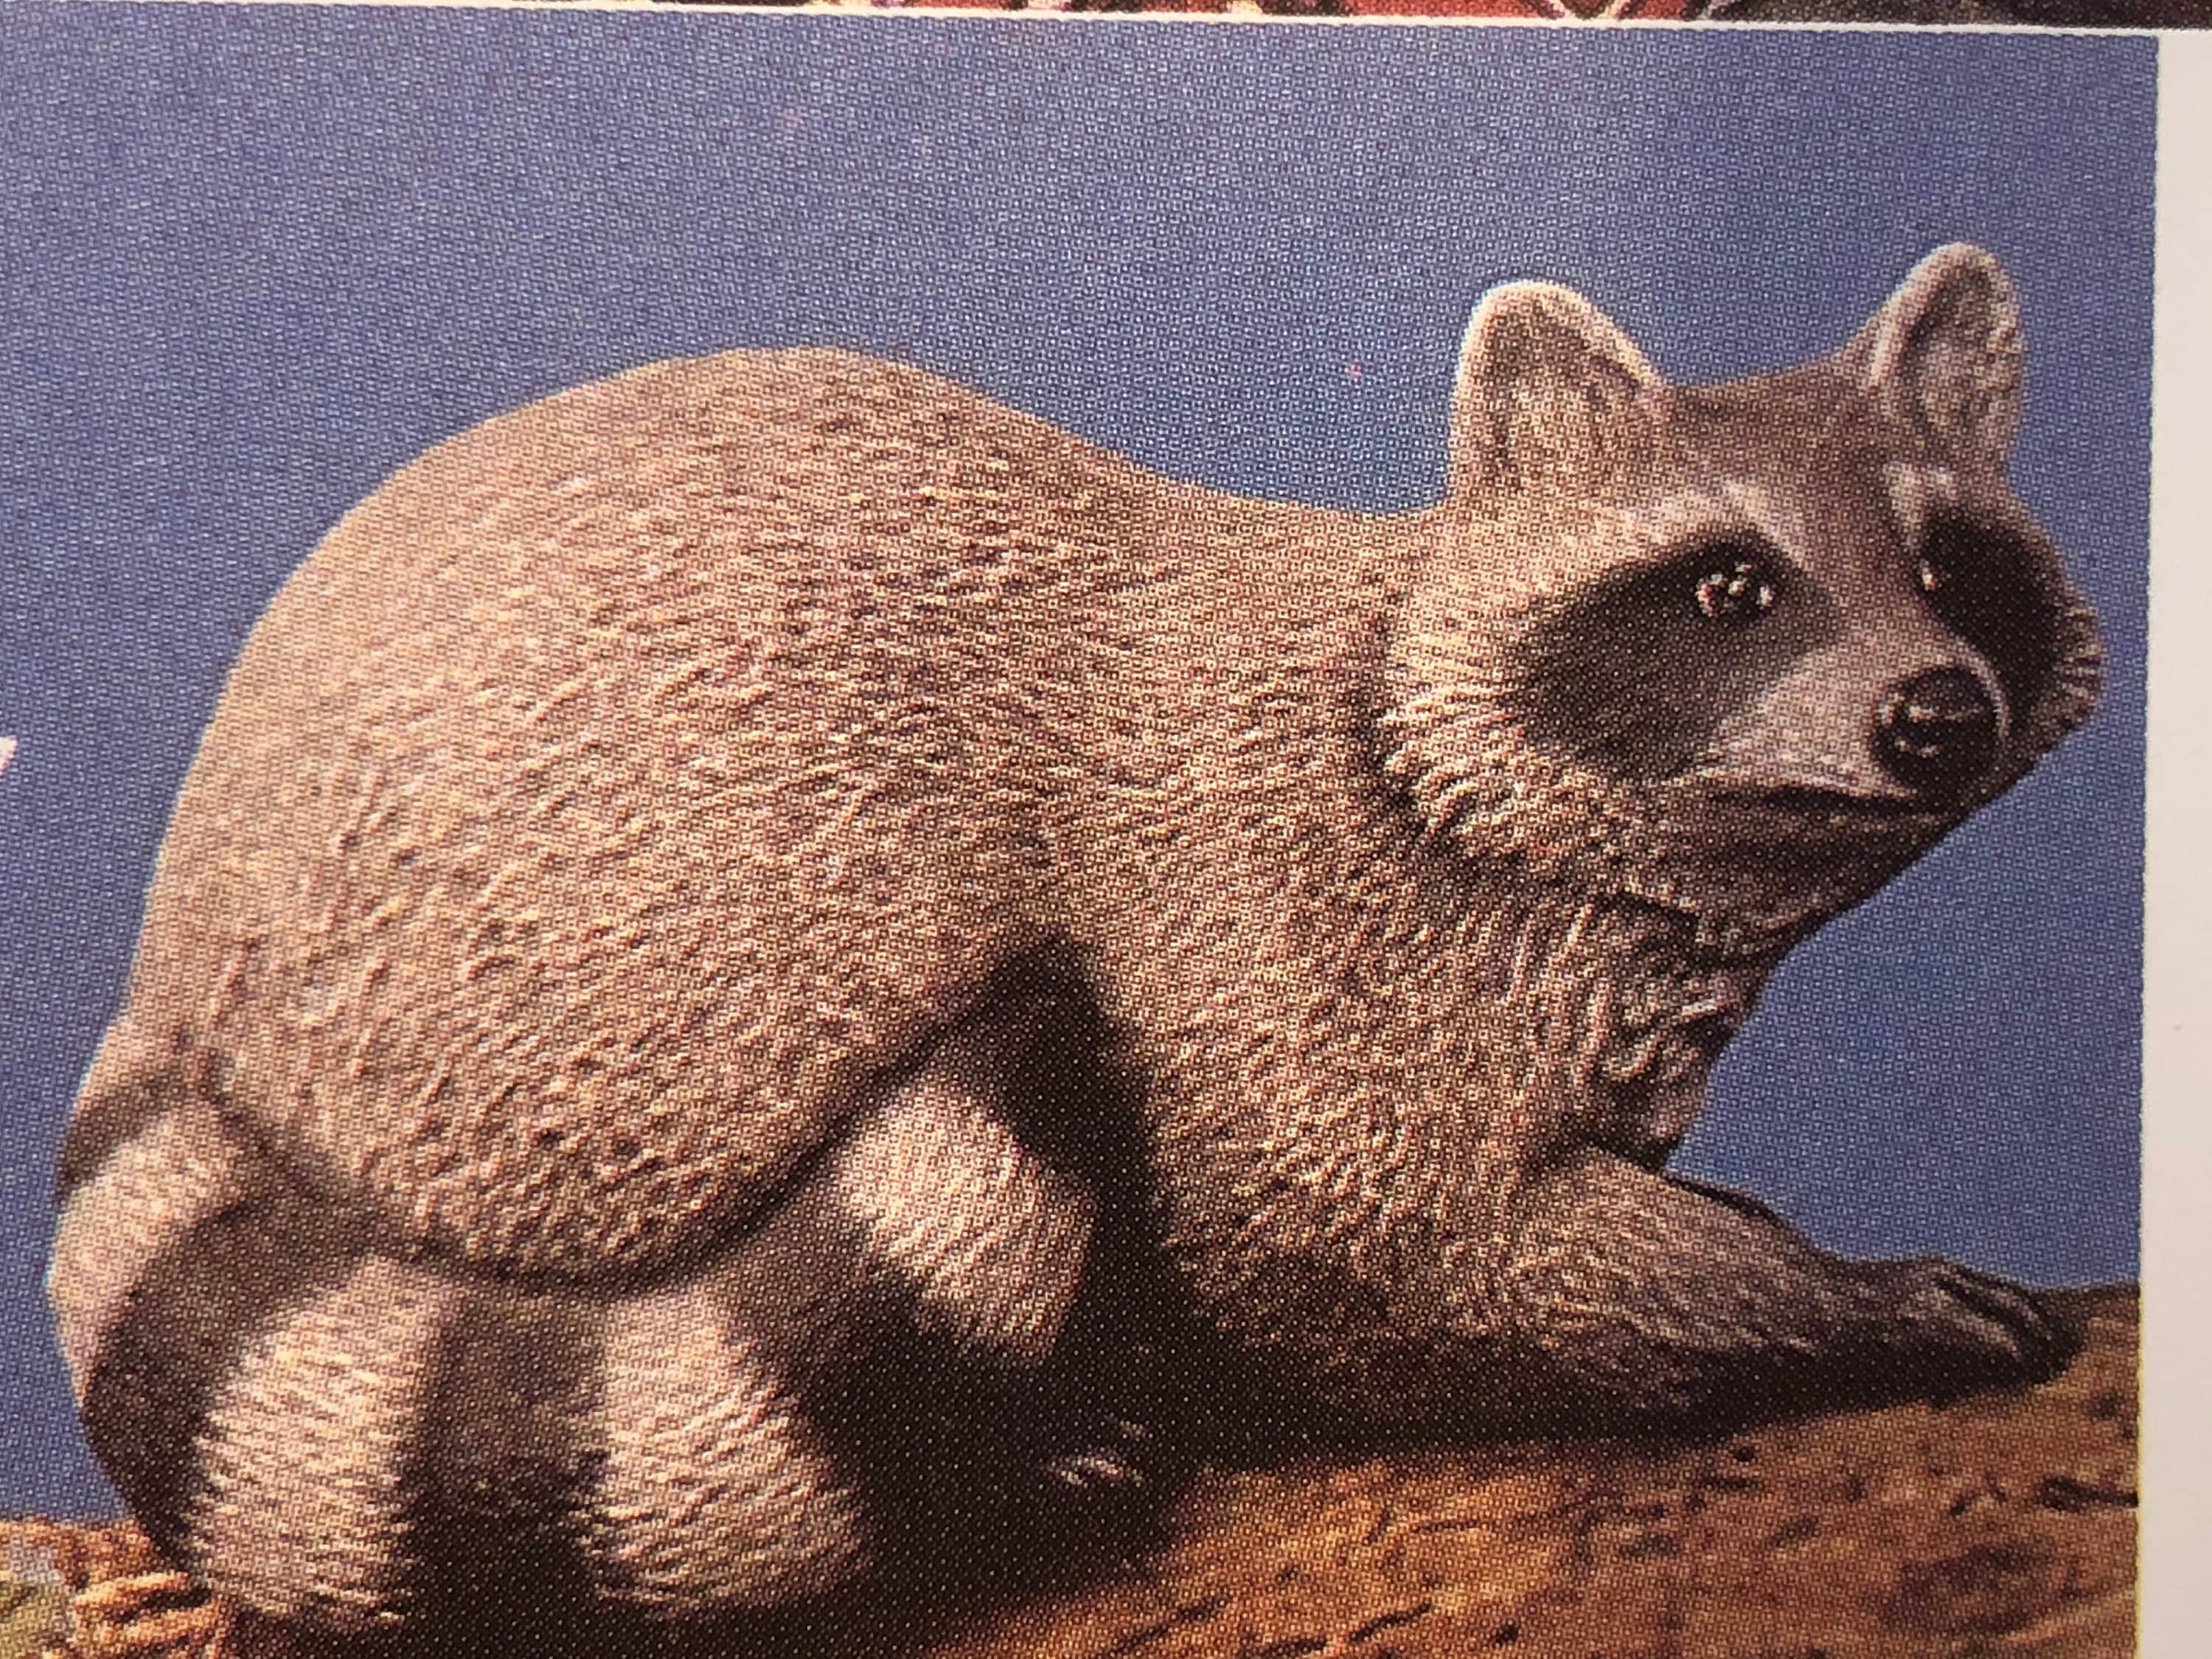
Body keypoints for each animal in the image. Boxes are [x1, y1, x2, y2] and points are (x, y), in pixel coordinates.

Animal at [51, 244, 2099, 1654]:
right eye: (1732, 585)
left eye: (1950, 567)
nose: (1935, 715)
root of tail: (184, 934)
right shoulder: (1297, 943)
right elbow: (1399, 1255)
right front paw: (1828, 1295)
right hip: (586, 975)